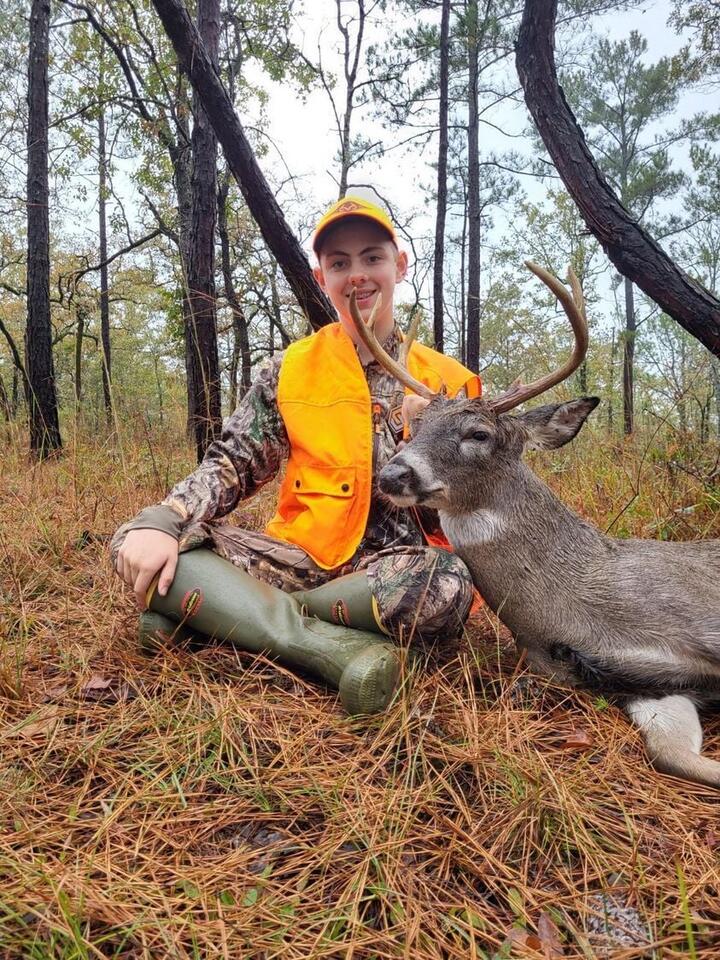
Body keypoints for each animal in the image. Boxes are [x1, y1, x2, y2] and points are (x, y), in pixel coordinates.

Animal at [348, 269, 720, 789]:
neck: (578, 603)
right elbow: (673, 755)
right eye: (415, 426)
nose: (392, 474)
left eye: (478, 434)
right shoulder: (645, 688)